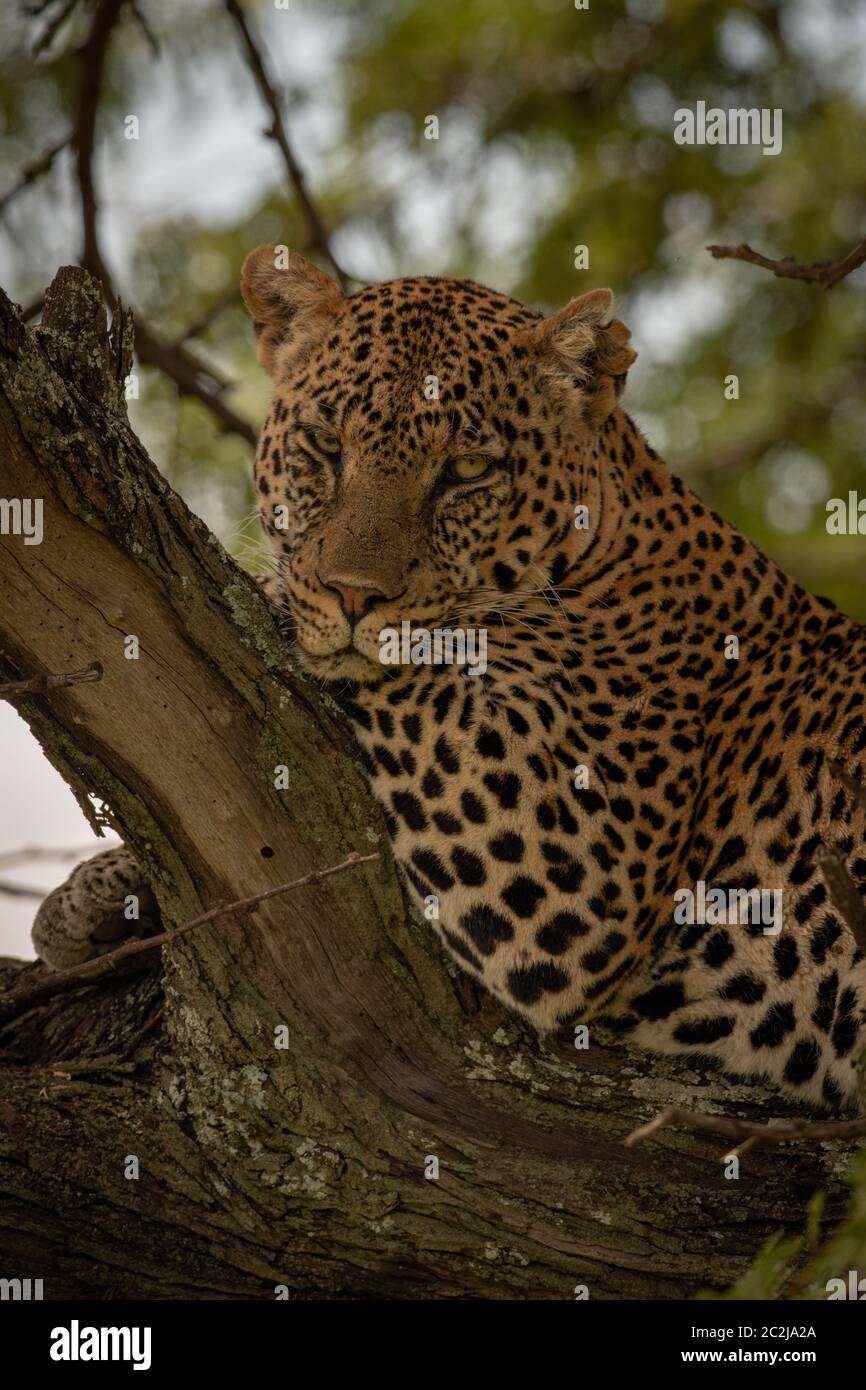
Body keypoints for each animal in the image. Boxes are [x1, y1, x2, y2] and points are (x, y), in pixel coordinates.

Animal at [32, 245, 866, 1113]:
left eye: (466, 469)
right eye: (325, 443)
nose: (354, 594)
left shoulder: (585, 856)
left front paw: (281, 599)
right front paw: (92, 897)